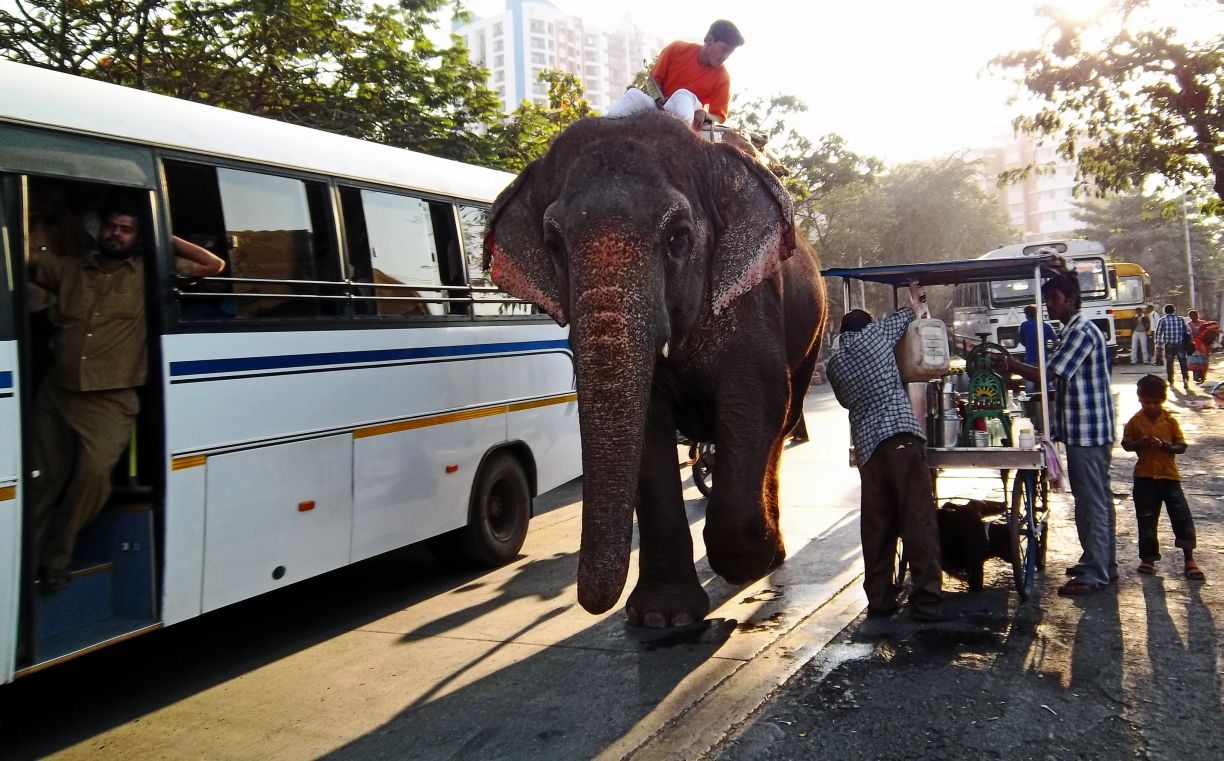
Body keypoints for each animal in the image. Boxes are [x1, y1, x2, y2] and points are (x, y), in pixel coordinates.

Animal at [484, 111, 827, 628]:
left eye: (678, 237)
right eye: (553, 244)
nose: (585, 602)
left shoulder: (749, 301)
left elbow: (757, 401)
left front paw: (746, 564)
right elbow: (647, 426)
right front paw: (663, 618)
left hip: (813, 334)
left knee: (784, 422)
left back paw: (775, 552)